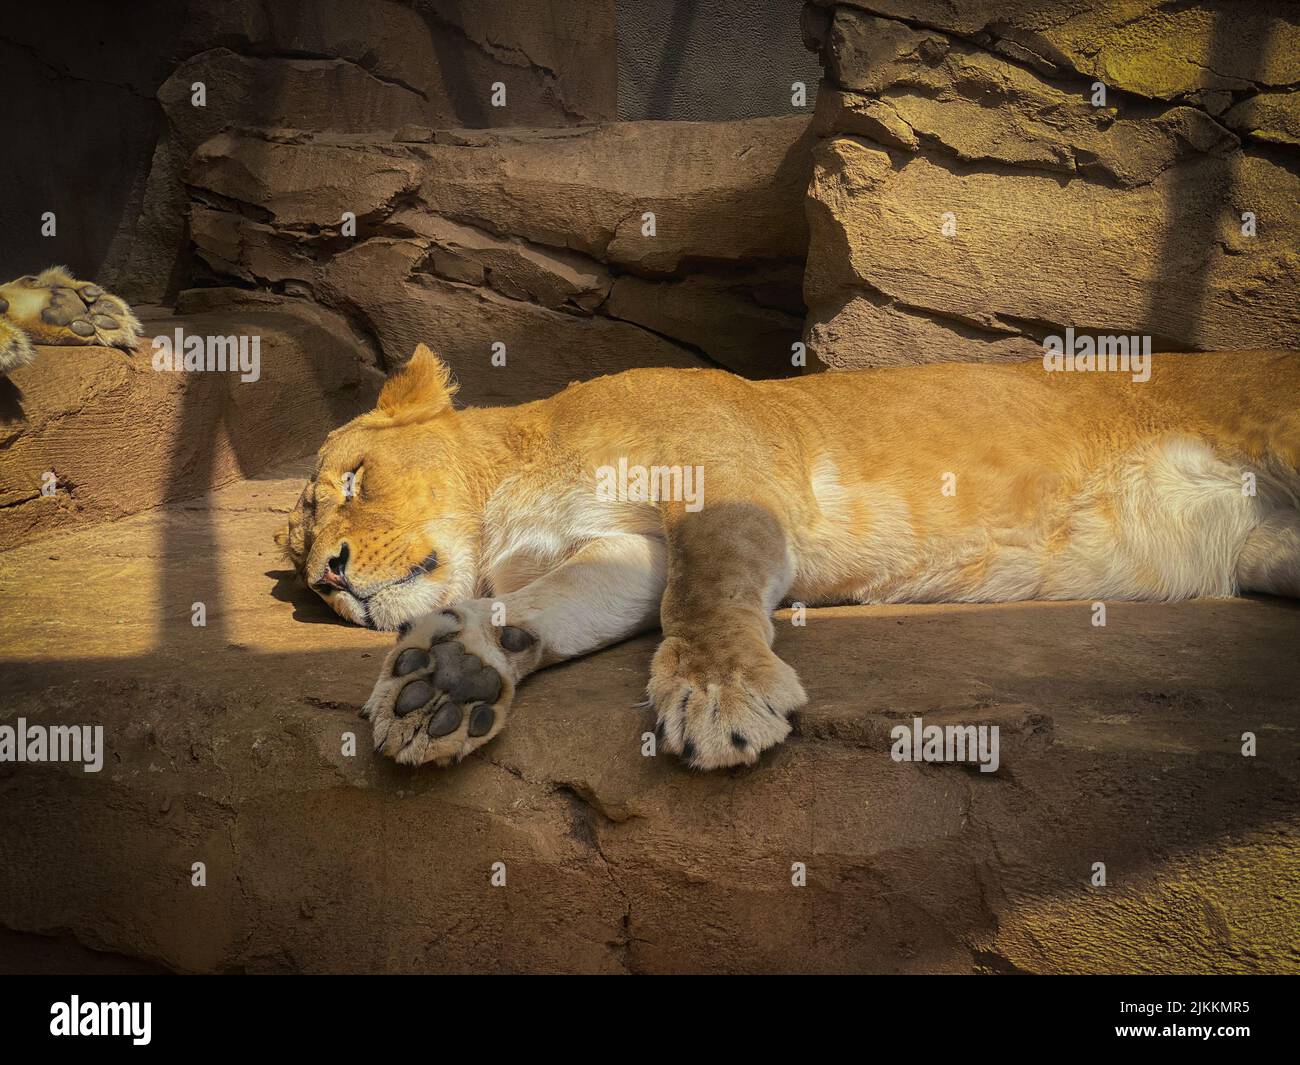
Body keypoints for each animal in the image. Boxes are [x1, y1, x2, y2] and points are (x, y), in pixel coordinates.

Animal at [278, 343, 1300, 771]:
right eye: (299, 556)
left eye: (353, 478)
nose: (328, 576)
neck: (509, 495)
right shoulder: (624, 551)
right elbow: (552, 606)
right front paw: (450, 677)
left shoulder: (728, 480)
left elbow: (707, 594)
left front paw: (721, 695)